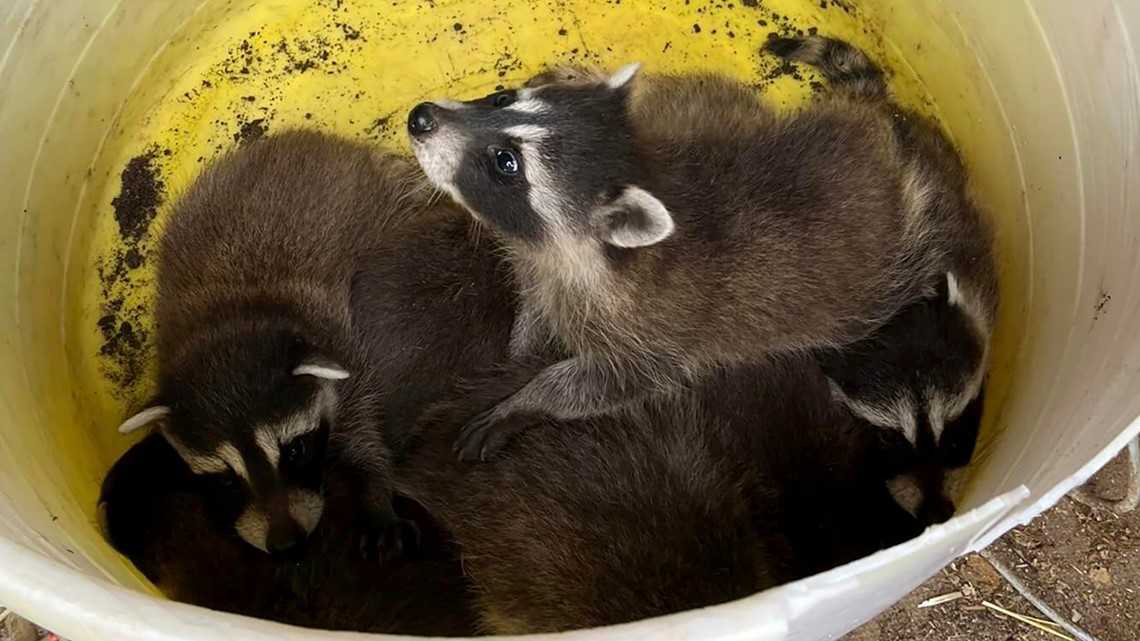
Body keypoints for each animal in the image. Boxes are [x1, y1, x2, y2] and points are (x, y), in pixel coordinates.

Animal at [115, 131, 437, 555]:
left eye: (294, 451)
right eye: (226, 479)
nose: (286, 543)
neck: (230, 322)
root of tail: (314, 140)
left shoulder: (345, 346)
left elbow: (362, 430)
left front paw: (373, 491)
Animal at [406, 37, 991, 461]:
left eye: (506, 162)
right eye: (502, 98)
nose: (419, 117)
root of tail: (879, 126)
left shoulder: (651, 333)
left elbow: (604, 384)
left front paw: (527, 399)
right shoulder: (543, 268)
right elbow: (534, 310)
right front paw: (520, 350)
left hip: (896, 269)